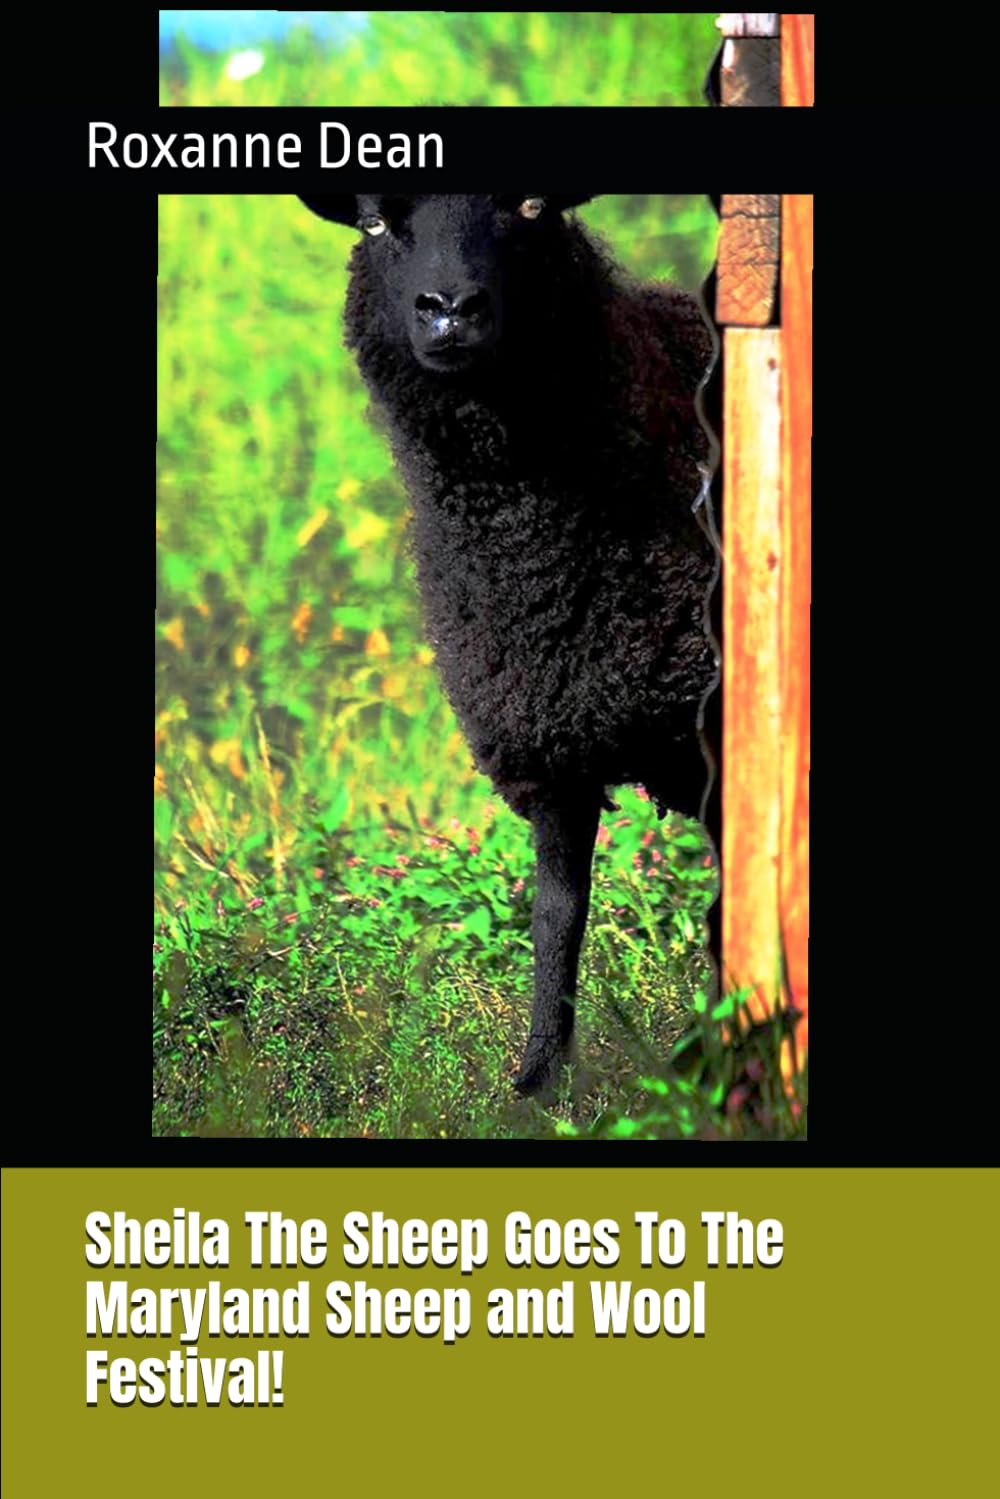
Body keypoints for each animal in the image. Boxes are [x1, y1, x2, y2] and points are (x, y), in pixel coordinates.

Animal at [298, 193, 717, 1096]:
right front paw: (537, 1085)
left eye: (530, 206)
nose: (451, 310)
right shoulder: (546, 751)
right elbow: (557, 917)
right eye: (375, 225)